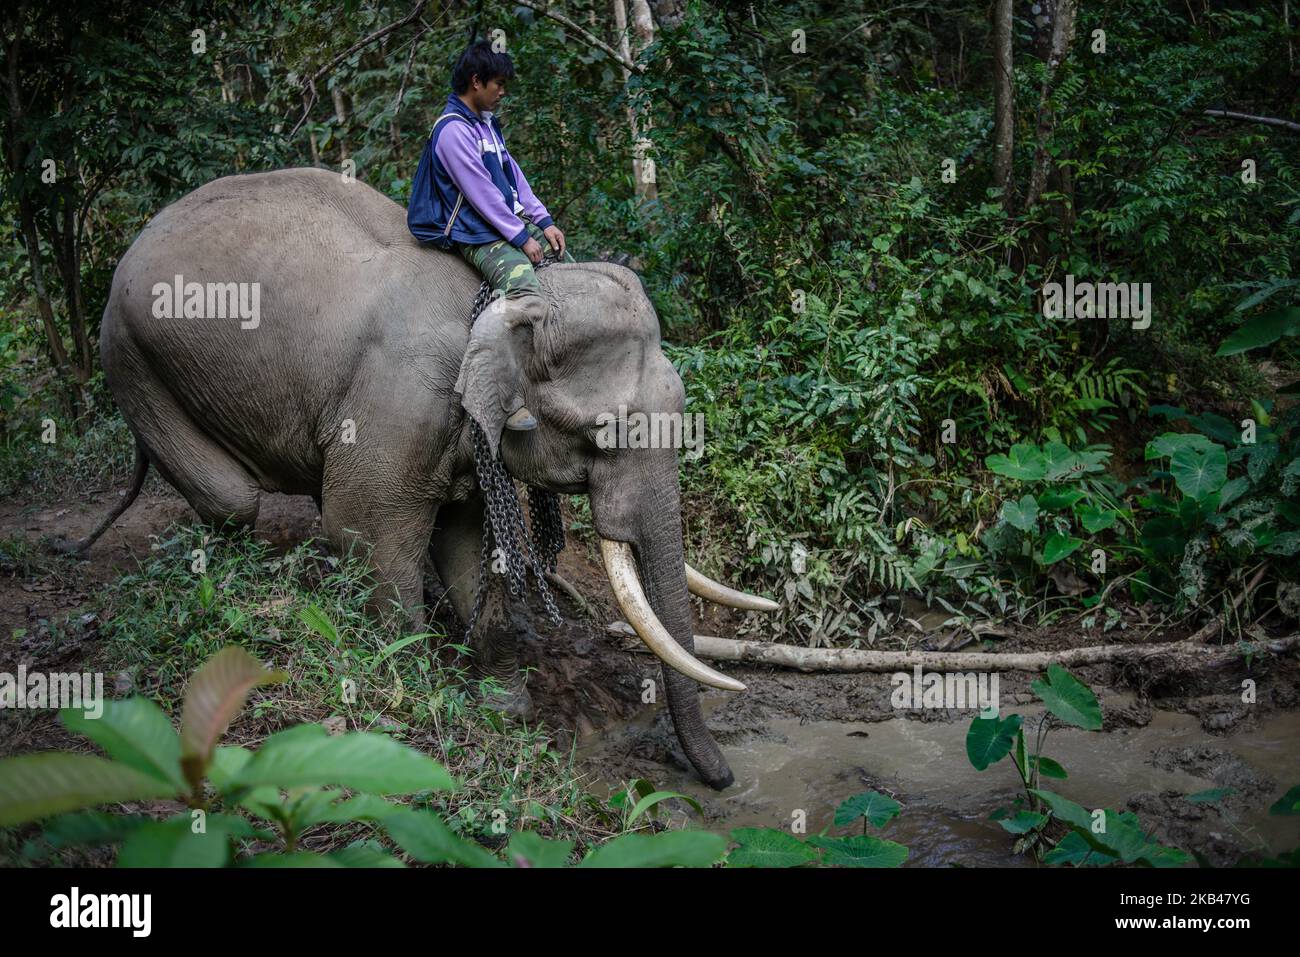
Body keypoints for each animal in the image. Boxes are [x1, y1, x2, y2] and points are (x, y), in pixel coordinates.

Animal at [67, 166, 779, 790]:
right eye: (605, 433)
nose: (722, 780)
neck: (507, 302)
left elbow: (463, 541)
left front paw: (498, 694)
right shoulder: (398, 405)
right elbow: (365, 528)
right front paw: (418, 688)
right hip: (132, 361)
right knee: (231, 499)